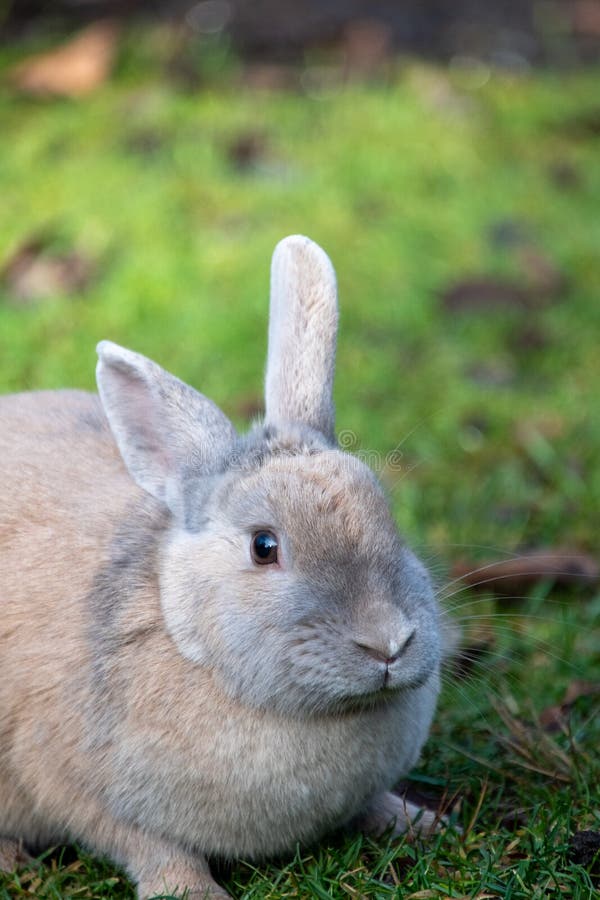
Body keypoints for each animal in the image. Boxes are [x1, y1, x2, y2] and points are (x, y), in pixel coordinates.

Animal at [0, 235, 444, 899]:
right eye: (264, 546)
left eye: (384, 511)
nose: (389, 643)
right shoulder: (76, 789)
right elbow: (150, 846)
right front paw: (193, 892)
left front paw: (419, 822)